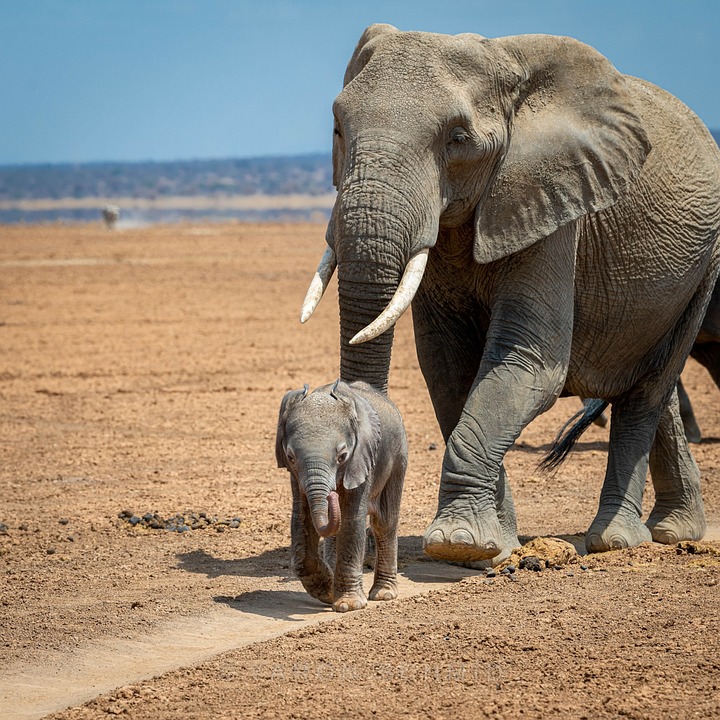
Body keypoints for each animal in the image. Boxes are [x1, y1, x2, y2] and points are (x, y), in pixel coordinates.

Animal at [276, 380, 407, 612]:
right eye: (290, 457)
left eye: (342, 456)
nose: (332, 496)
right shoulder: (296, 477)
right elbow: (301, 518)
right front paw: (328, 593)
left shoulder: (362, 459)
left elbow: (351, 521)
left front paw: (348, 605)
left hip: (398, 457)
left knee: (384, 522)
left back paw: (383, 594)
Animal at [300, 24, 720, 565]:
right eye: (337, 129)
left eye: (458, 139)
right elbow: (449, 368)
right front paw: (497, 547)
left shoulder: (554, 206)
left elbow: (525, 364)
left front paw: (459, 544)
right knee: (649, 381)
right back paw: (674, 531)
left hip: (707, 263)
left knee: (648, 391)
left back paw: (616, 541)